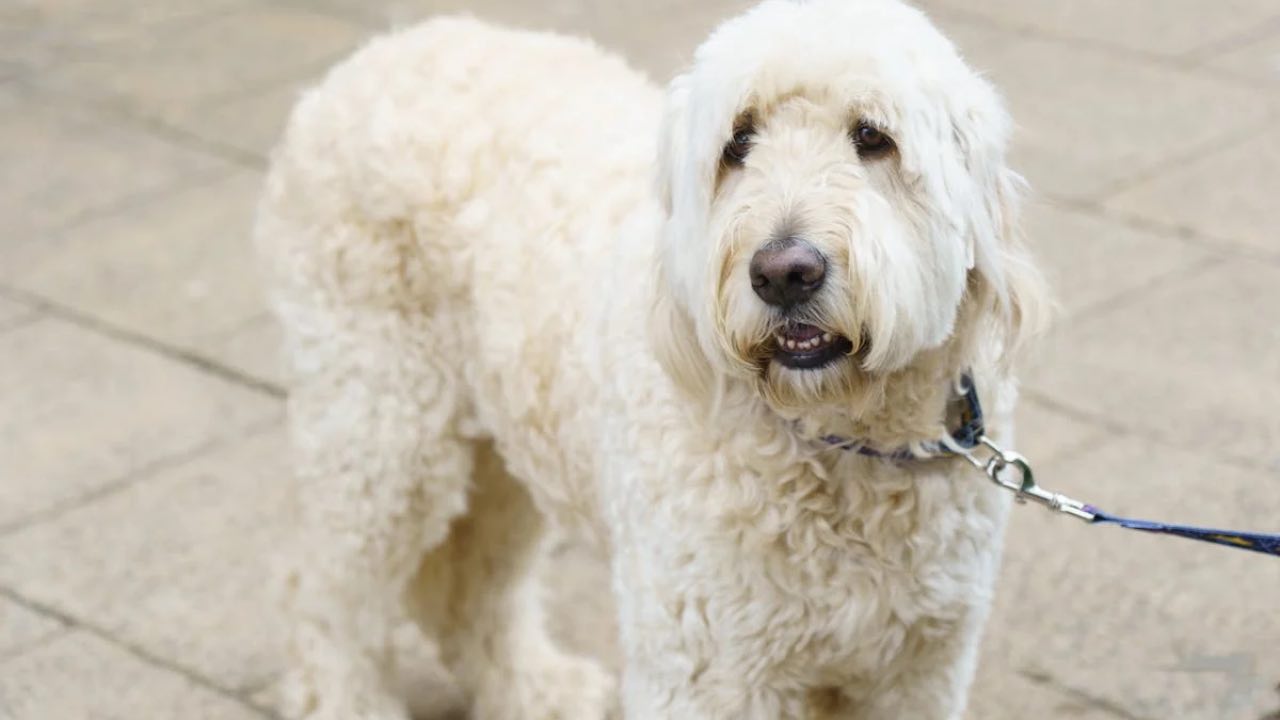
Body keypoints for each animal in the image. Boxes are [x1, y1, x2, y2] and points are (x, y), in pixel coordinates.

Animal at [254, 1, 1044, 717]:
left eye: (873, 137)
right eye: (738, 143)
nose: (784, 272)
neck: (838, 444)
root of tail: (377, 54)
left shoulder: (921, 668)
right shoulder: (705, 670)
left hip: (510, 443)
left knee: (470, 588)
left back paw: (538, 689)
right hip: (380, 431)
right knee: (324, 593)